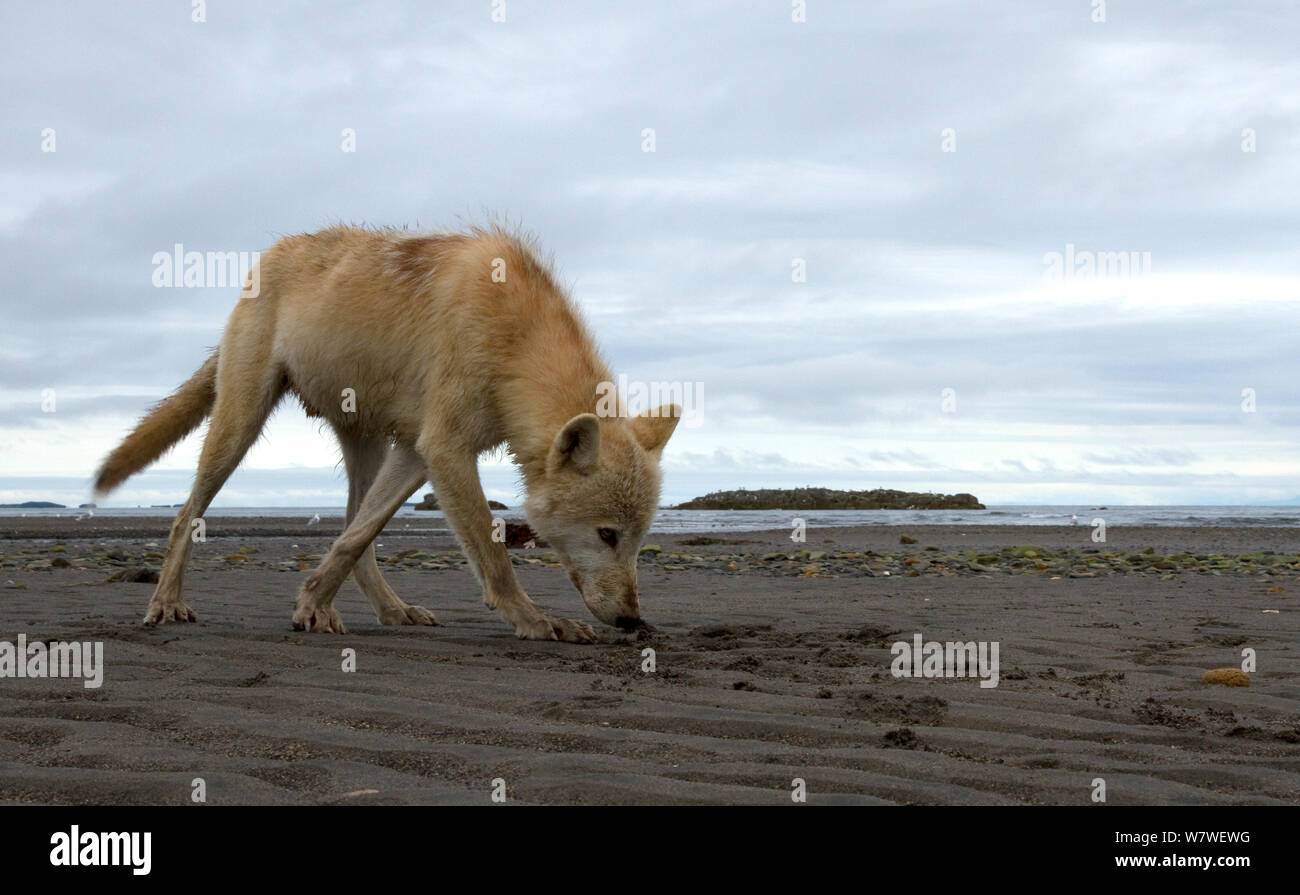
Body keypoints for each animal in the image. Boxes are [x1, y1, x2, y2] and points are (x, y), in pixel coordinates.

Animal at [93, 225, 681, 642]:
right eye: (607, 535)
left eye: (638, 539)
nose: (632, 621)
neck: (515, 337)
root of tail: (267, 256)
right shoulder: (445, 450)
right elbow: (493, 558)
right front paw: (536, 621)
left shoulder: (418, 453)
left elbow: (355, 538)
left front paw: (310, 603)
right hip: (239, 426)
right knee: (184, 514)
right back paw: (166, 602)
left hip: (368, 445)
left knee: (356, 527)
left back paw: (387, 610)